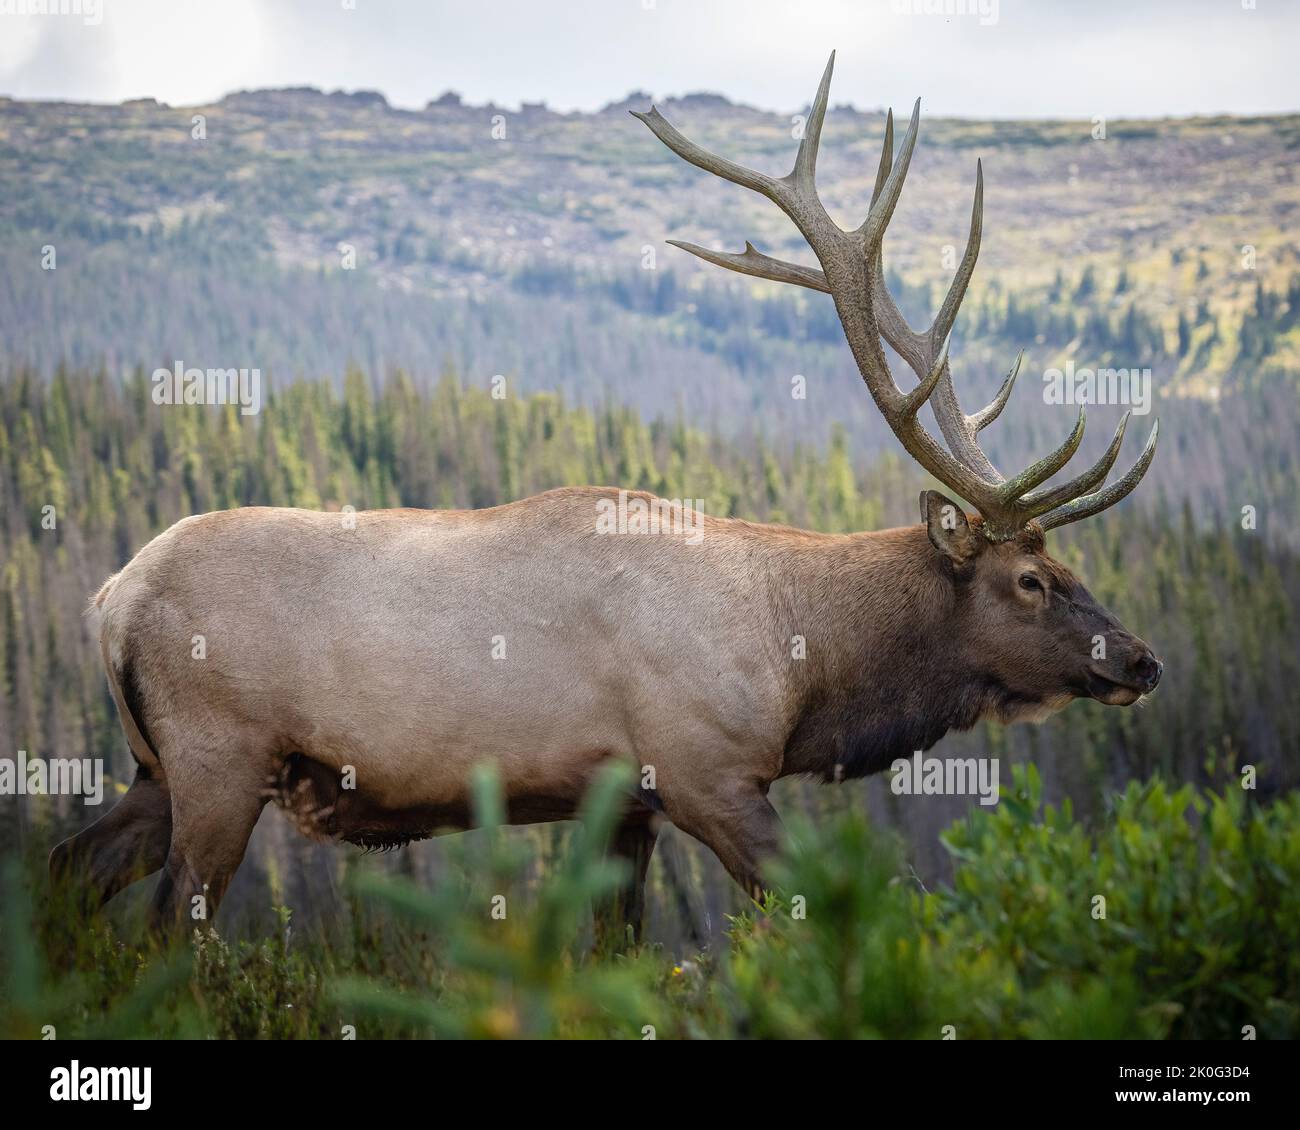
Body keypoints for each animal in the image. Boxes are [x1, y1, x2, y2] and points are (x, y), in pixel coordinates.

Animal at [50, 53, 1160, 948]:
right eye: (1031, 579)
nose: (1141, 660)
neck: (797, 659)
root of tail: (108, 600)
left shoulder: (622, 804)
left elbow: (616, 951)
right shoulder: (708, 771)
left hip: (156, 767)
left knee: (69, 868)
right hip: (217, 757)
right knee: (168, 925)